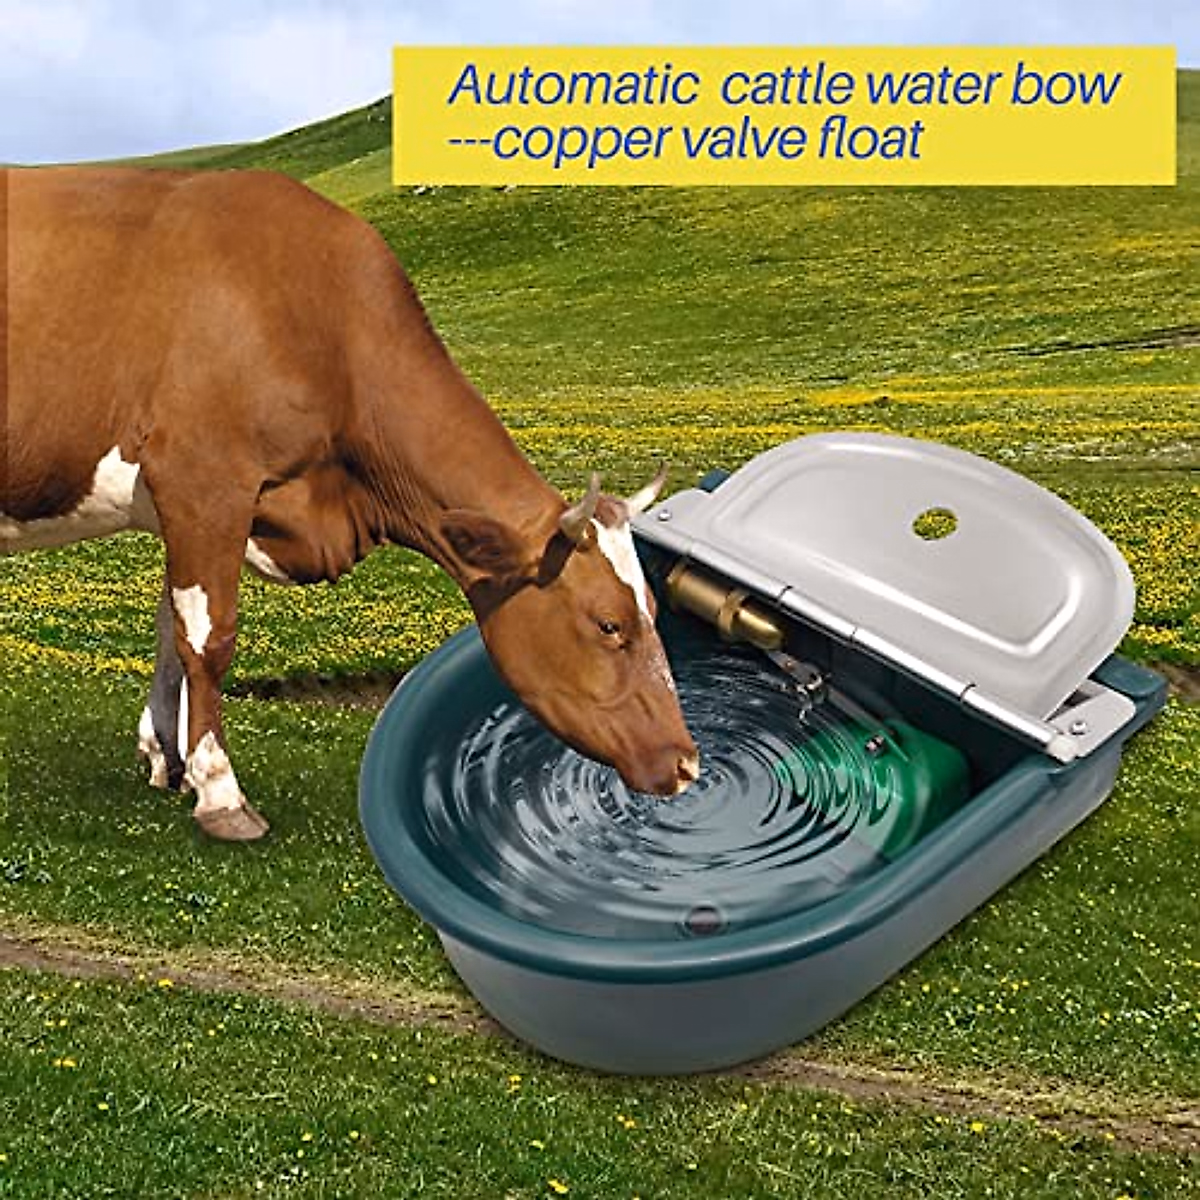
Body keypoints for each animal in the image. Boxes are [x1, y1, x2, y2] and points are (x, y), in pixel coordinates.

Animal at [1, 167, 700, 841]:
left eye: (654, 608)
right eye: (608, 624)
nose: (688, 764)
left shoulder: (190, 506)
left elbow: (171, 629)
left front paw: (168, 761)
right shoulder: (205, 481)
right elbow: (210, 637)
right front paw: (221, 795)